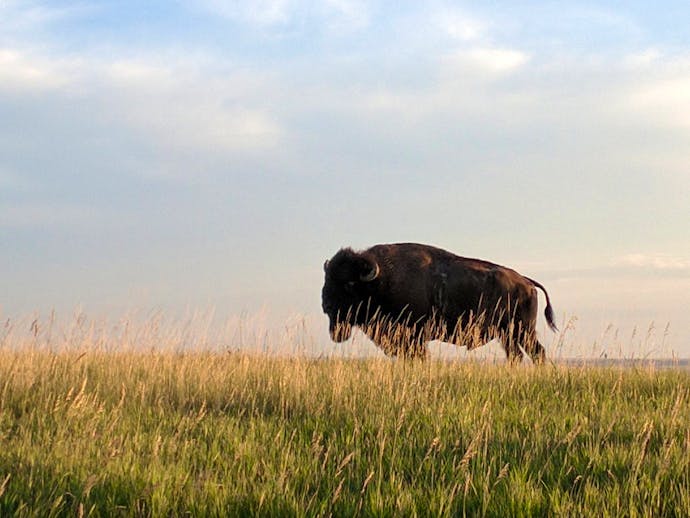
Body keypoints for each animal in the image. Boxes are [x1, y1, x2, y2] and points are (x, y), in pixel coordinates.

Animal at [321, 243, 557, 363]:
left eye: (350, 283)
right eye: (328, 278)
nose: (326, 304)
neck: (382, 280)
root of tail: (526, 282)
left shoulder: (414, 337)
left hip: (522, 331)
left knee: (537, 353)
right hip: (508, 334)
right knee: (517, 355)